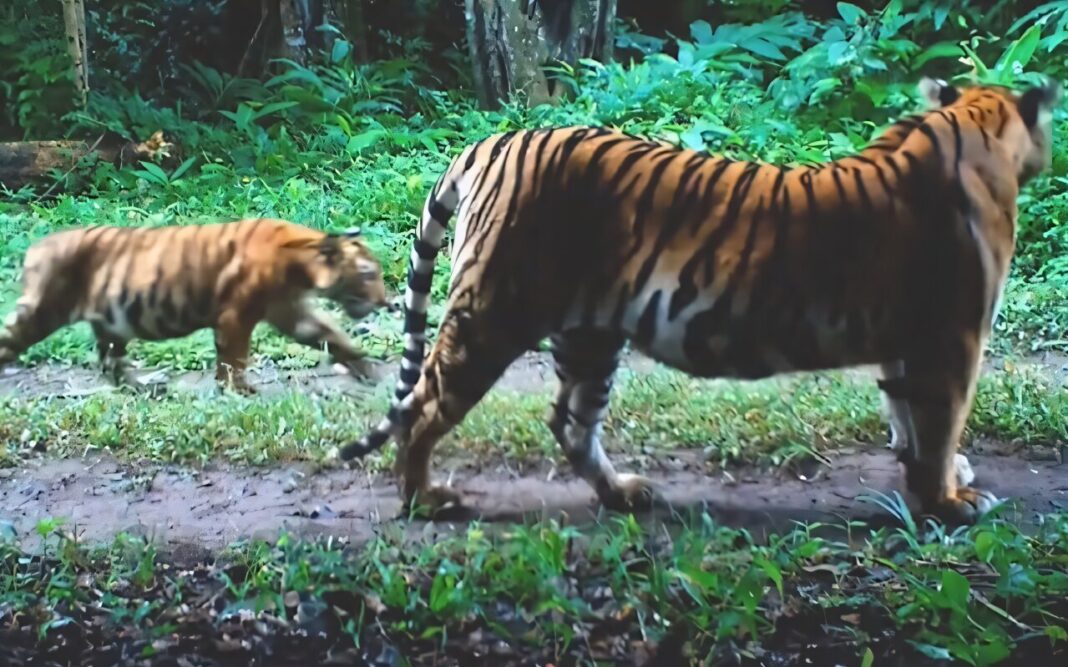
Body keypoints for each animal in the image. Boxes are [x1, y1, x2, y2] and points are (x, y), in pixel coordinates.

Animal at [0, 218, 389, 393]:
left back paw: (145, 388)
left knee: (110, 363)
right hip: (43, 310)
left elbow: (330, 335)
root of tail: (36, 247)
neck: (301, 267)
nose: (385, 301)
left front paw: (366, 368)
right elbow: (233, 357)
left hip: (113, 323)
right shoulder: (237, 315)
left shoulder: (289, 310)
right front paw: (237, 391)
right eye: (368, 274)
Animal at [339, 78, 1058, 525]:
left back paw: (623, 493)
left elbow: (907, 419)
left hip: (590, 333)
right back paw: (425, 498)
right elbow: (938, 423)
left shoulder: (906, 343)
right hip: (494, 311)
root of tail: (493, 142)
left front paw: (932, 482)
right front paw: (949, 501)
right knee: (423, 407)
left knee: (570, 421)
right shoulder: (952, 338)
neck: (973, 122)